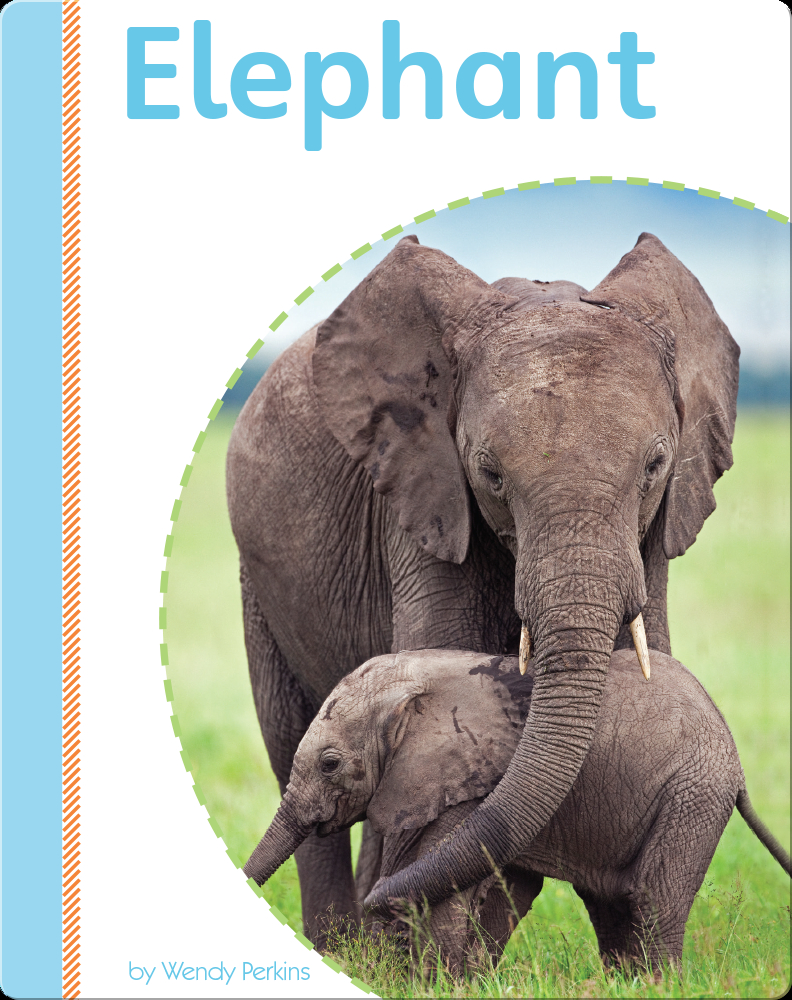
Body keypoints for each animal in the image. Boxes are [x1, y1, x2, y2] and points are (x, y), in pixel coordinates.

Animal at [227, 231, 740, 943]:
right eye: (490, 473)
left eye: (655, 465)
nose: (384, 907)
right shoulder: (421, 495)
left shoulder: (657, 530)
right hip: (258, 579)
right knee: (287, 741)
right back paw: (339, 947)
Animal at [244, 647, 791, 973]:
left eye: (331, 764)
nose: (372, 903)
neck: (416, 686)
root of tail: (731, 749)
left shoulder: (468, 786)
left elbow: (444, 884)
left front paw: (438, 983)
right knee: (609, 899)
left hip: (692, 792)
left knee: (654, 897)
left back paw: (660, 985)